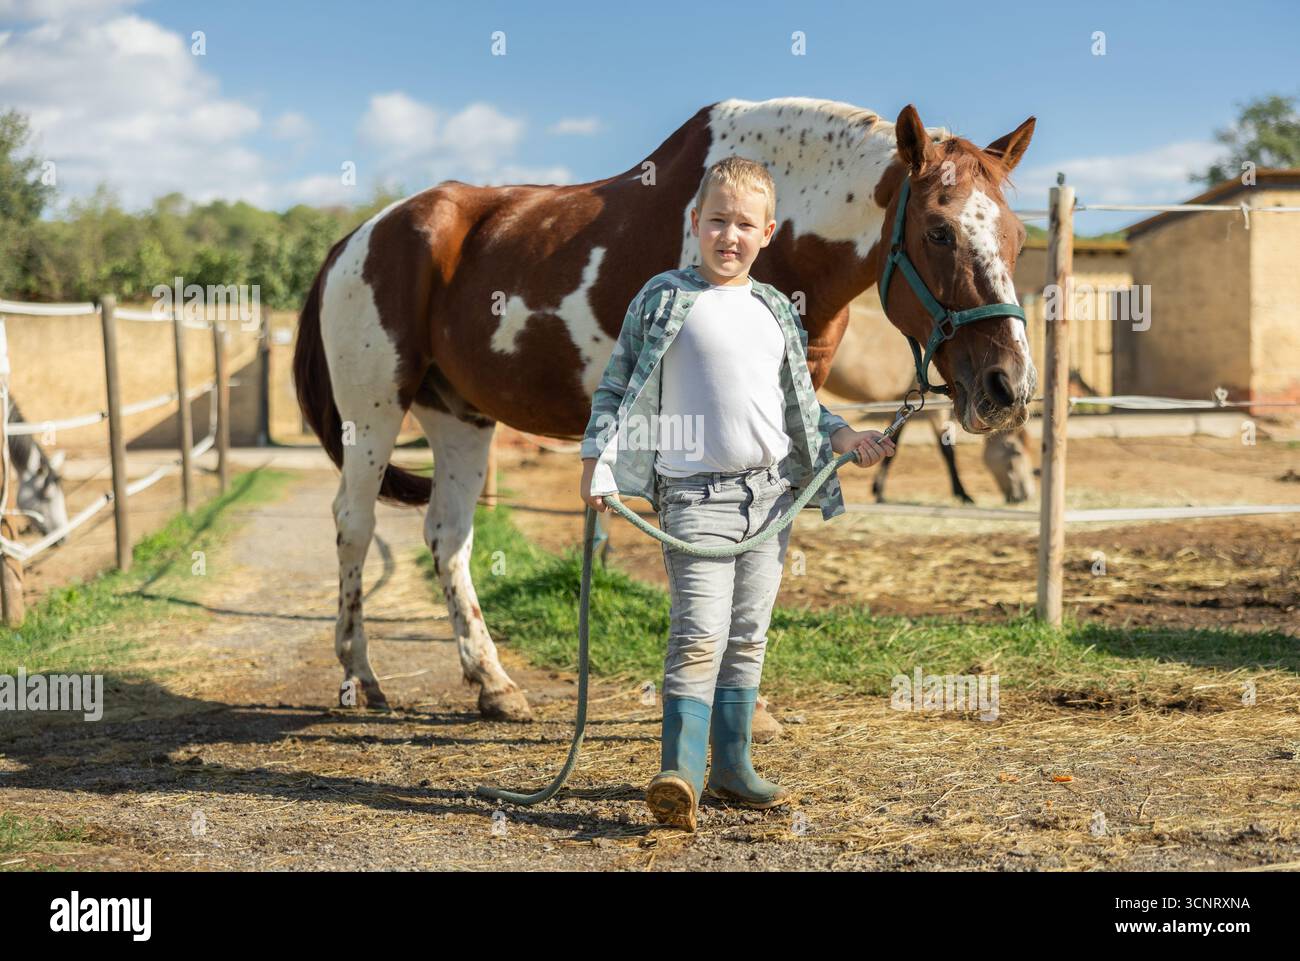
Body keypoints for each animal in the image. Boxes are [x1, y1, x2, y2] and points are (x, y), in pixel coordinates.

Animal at [823, 298, 1036, 504]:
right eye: (1016, 452)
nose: (1025, 496)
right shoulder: (934, 406)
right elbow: (946, 448)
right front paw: (963, 494)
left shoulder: (903, 404)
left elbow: (893, 443)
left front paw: (879, 490)